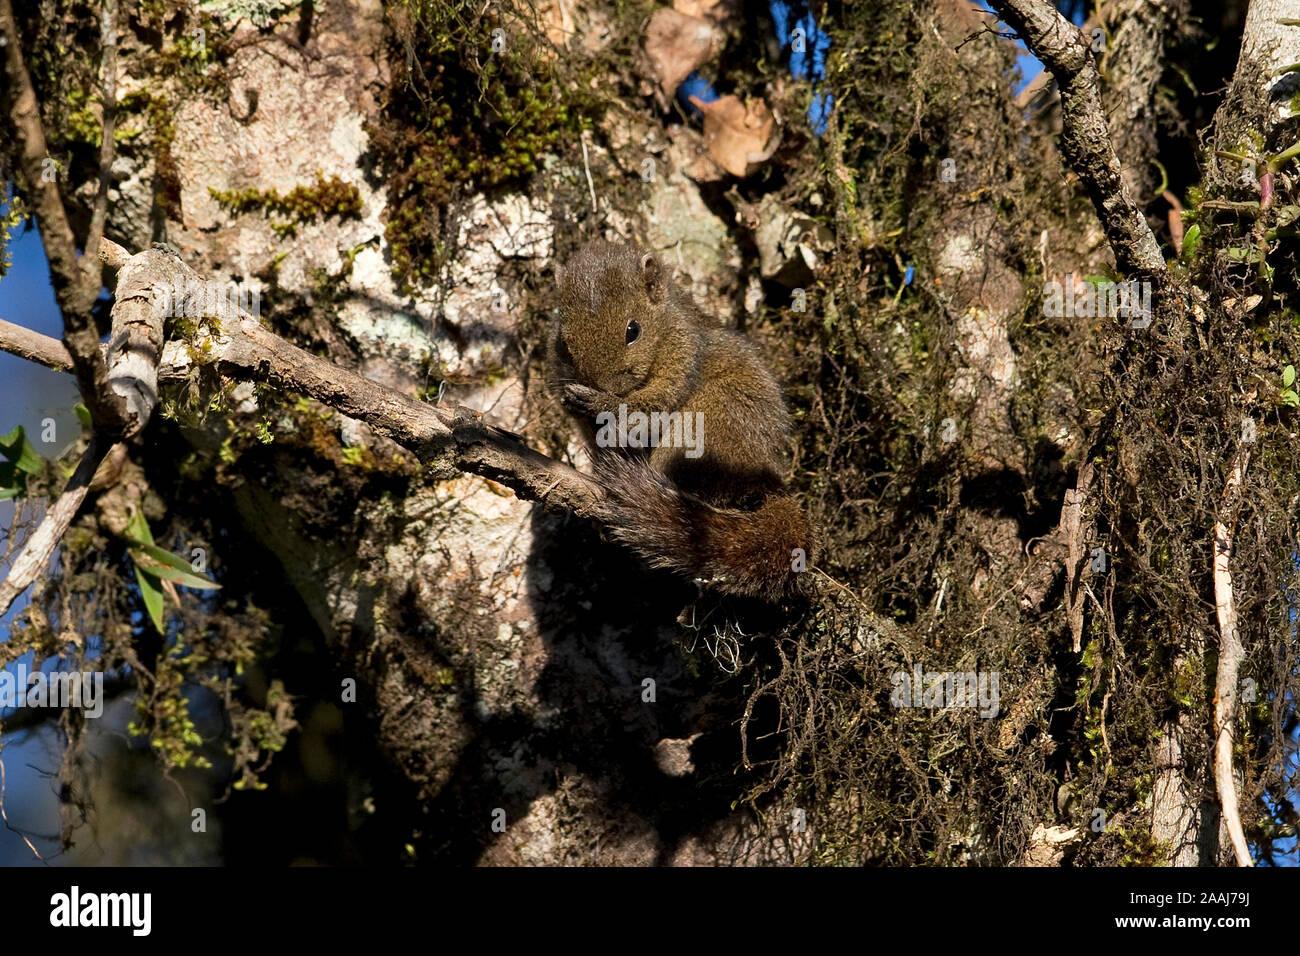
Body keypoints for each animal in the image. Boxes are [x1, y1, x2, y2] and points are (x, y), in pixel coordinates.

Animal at [549, 239, 813, 601]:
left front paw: (603, 403)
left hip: (709, 421)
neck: (664, 327)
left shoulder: (682, 357)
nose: (603, 385)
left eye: (633, 330)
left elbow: (651, 405)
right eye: (564, 341)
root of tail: (764, 476)